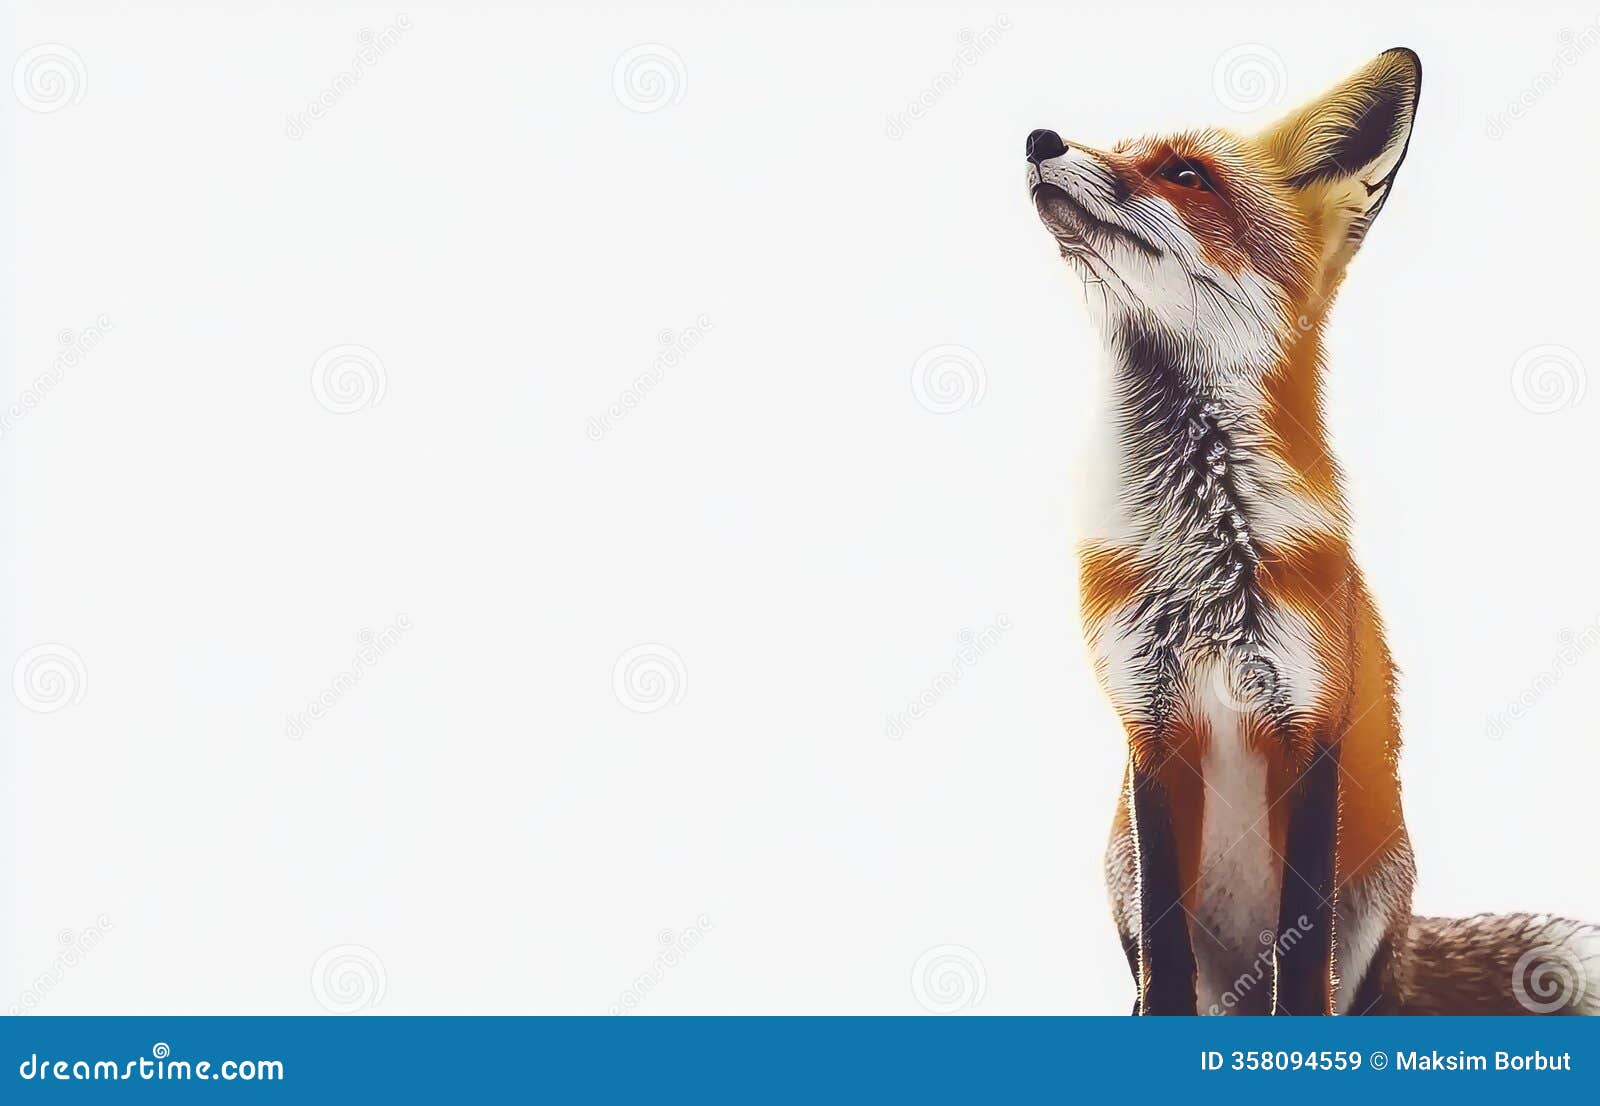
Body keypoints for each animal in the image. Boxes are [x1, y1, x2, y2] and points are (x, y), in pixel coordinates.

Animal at [1026, 47, 1600, 1015]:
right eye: (1125, 149)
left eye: (1186, 174)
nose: (1039, 139)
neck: (1203, 542)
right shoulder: (1149, 728)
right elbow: (1167, 957)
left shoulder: (1312, 721)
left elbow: (1301, 954)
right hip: (1116, 864)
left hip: (1380, 886)